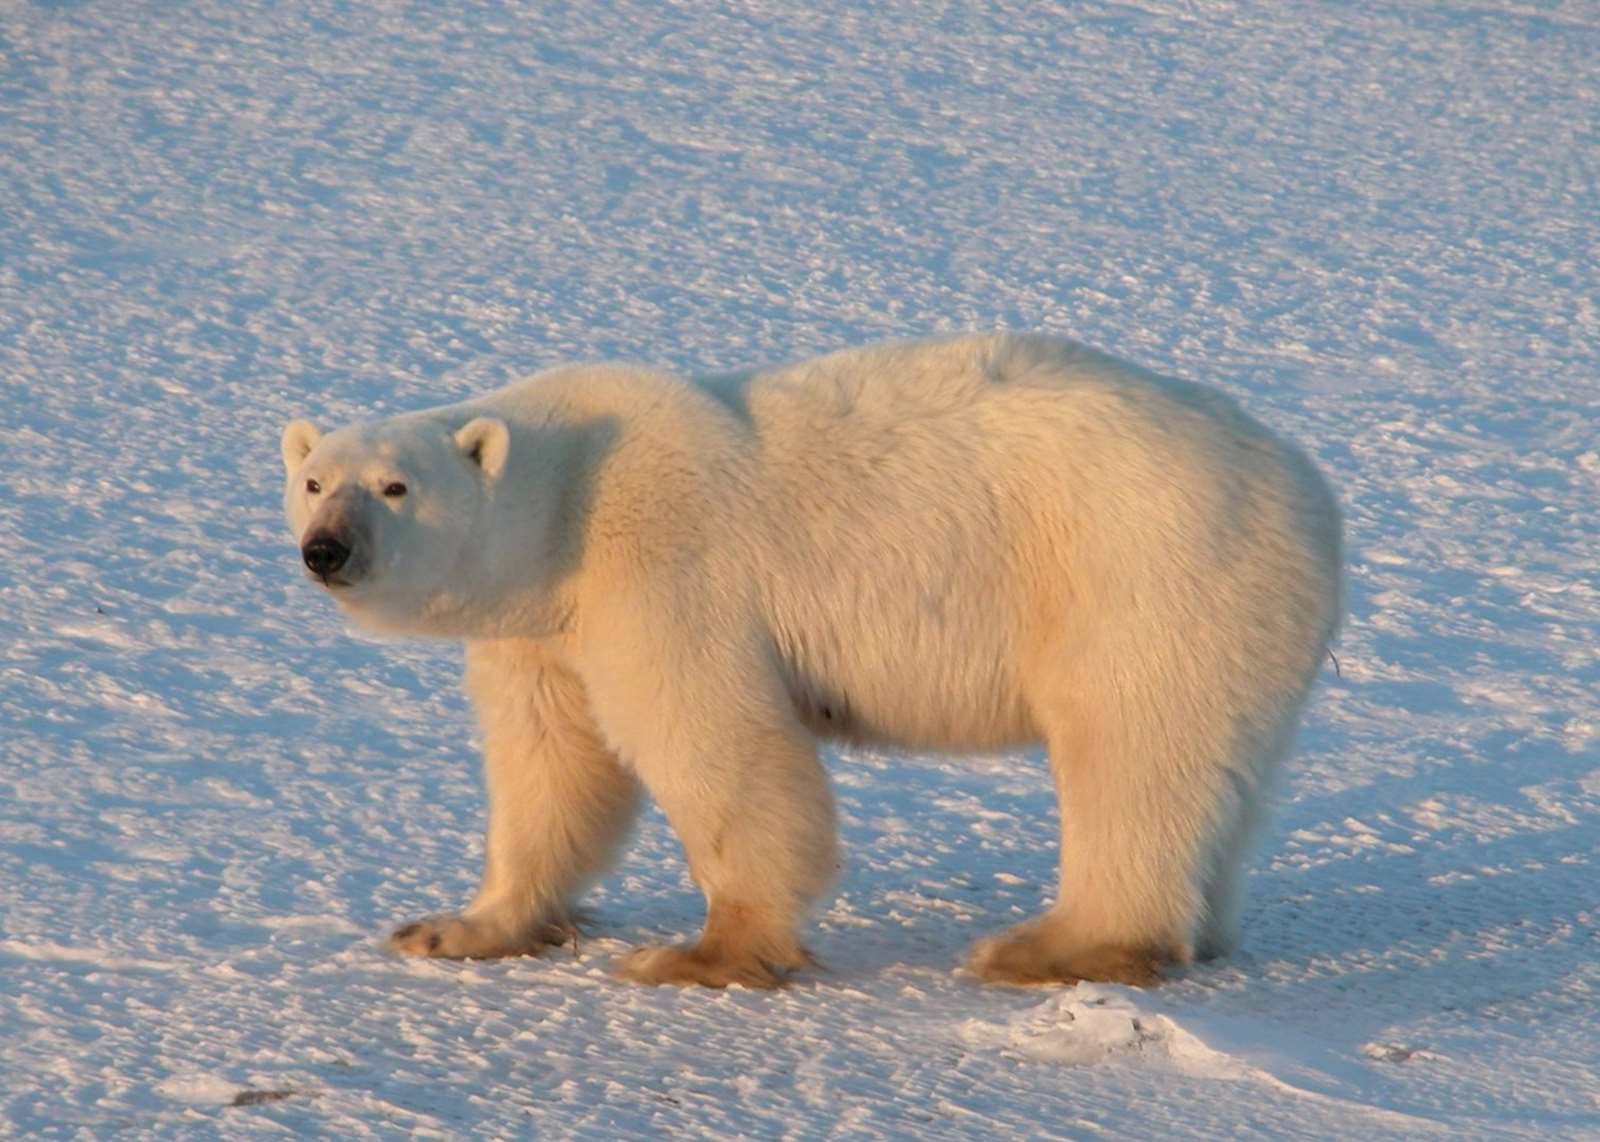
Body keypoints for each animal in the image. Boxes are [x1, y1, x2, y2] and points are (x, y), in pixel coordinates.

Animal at [280, 332, 1341, 989]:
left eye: (396, 486)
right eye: (315, 480)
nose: (326, 550)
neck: (570, 494)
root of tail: (1308, 490)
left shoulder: (661, 572)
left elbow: (717, 745)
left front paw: (701, 955)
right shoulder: (542, 630)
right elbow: (551, 764)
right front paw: (454, 927)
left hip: (1142, 573)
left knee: (1126, 750)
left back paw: (1049, 946)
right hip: (1241, 624)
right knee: (1222, 780)